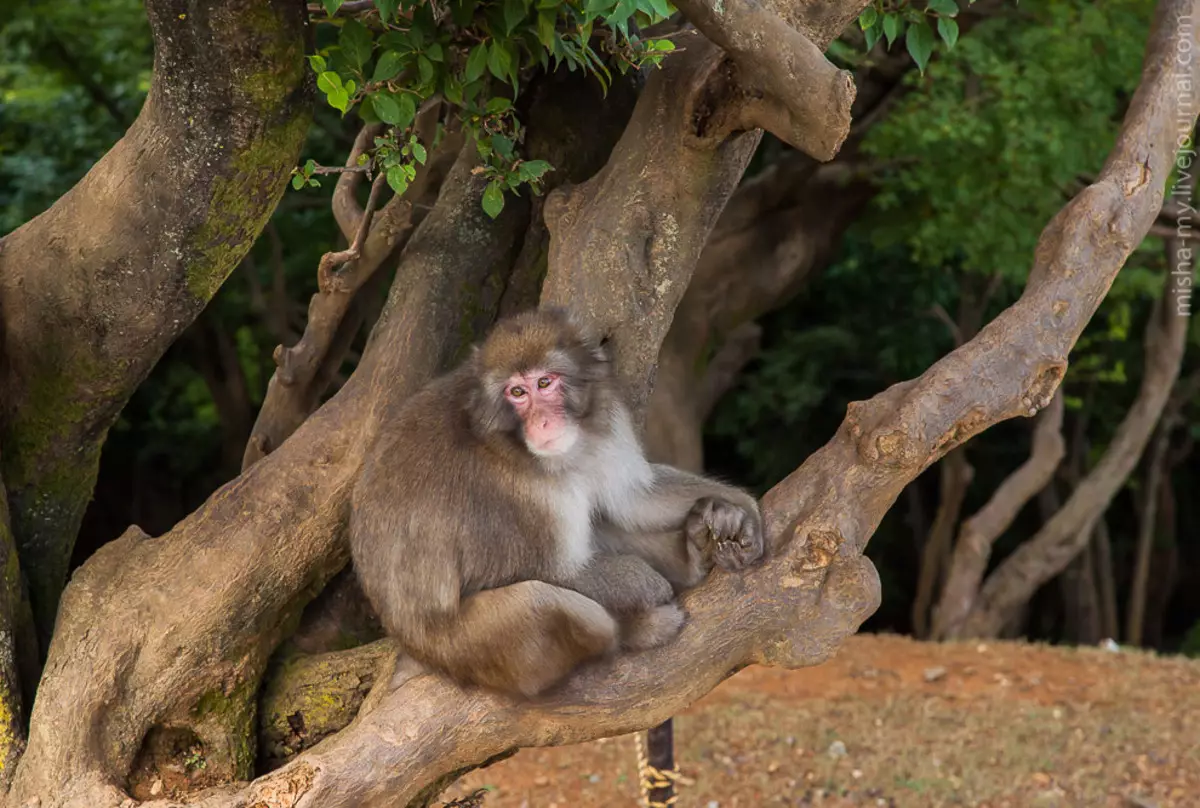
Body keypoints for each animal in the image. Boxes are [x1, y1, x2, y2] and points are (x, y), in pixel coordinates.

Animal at [348, 306, 763, 696]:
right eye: (517, 393)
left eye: (545, 382)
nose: (542, 423)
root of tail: (412, 647)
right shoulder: (512, 492)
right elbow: (552, 571)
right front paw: (648, 584)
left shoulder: (605, 419)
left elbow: (634, 499)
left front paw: (742, 509)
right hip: (467, 650)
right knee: (545, 603)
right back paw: (634, 631)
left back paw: (693, 553)